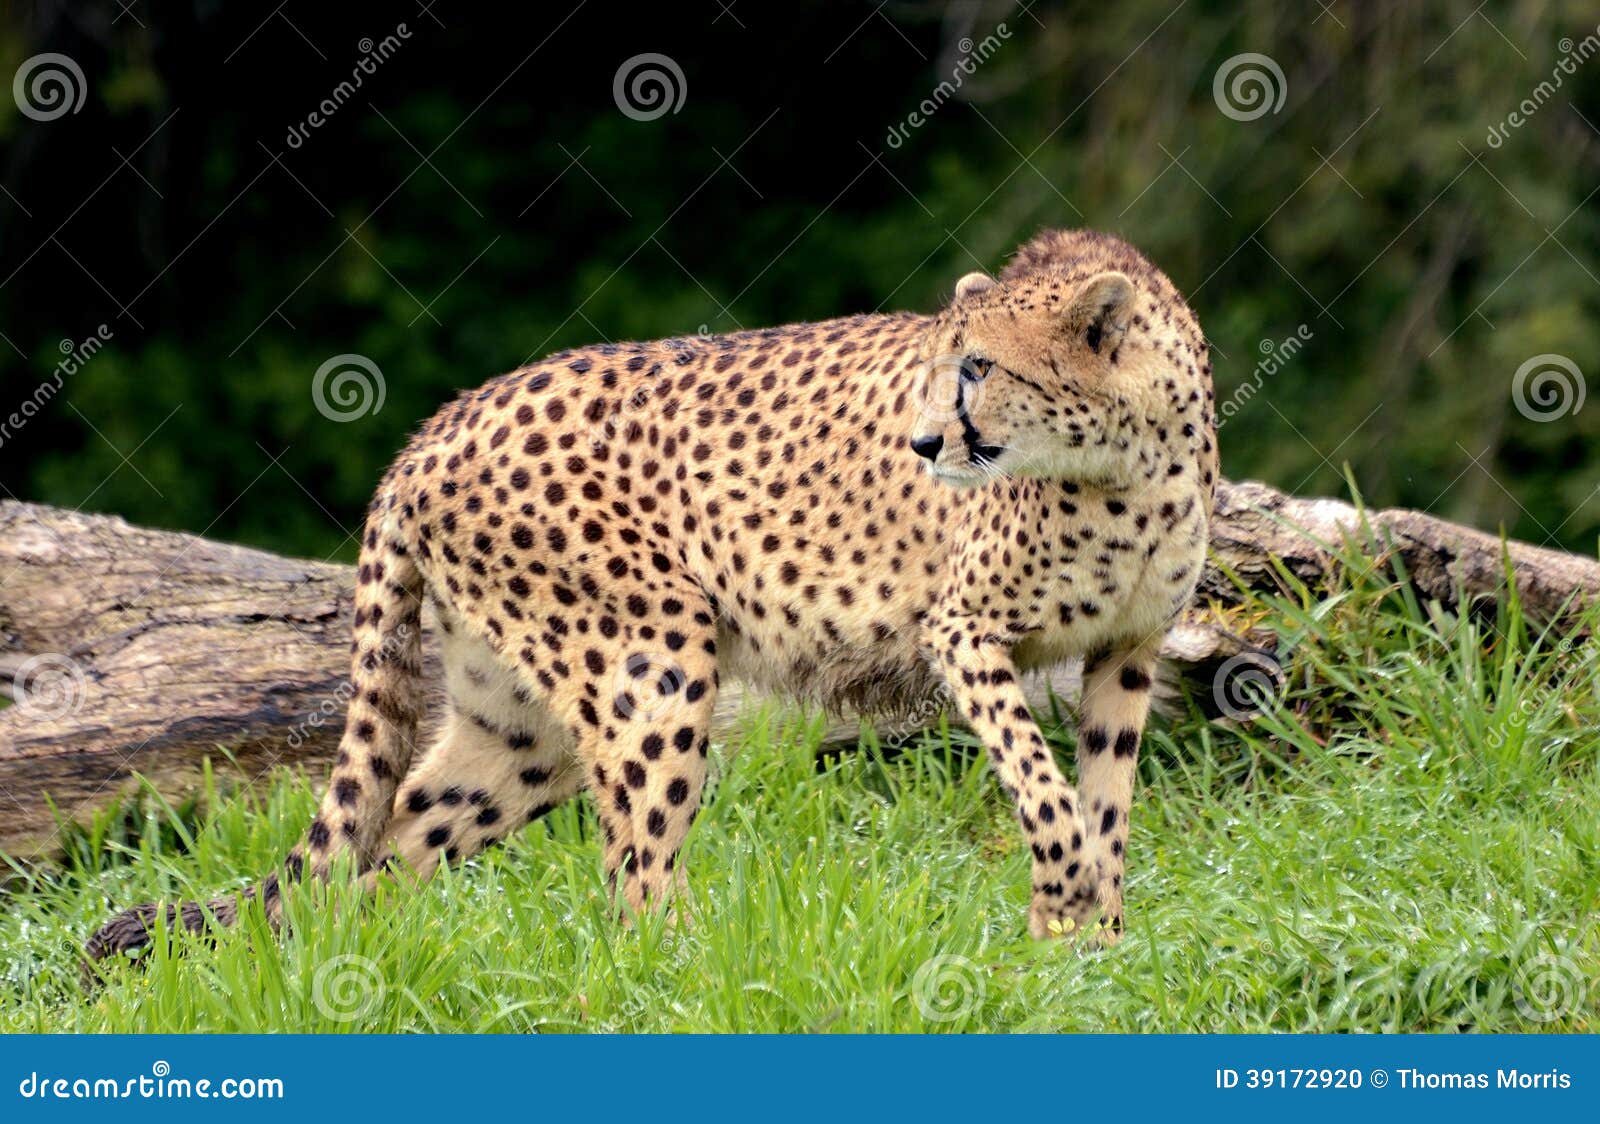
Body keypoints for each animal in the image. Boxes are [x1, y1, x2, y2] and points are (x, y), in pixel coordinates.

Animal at [86, 227, 1215, 964]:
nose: (924, 443)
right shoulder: (964, 631)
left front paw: (1095, 948)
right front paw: (1067, 906)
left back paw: (355, 975)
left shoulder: (1126, 651)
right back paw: (690, 977)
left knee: (395, 838)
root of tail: (433, 427)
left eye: (979, 367)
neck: (1124, 461)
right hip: (654, 659)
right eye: (947, 366)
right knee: (631, 871)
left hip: (519, 730)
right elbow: (1044, 786)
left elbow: (1104, 798)